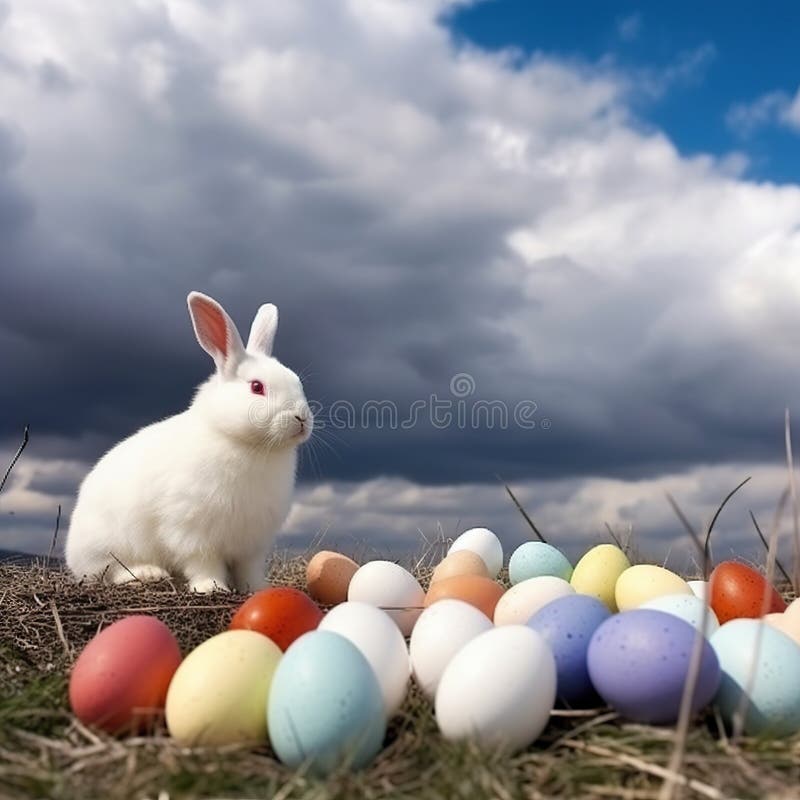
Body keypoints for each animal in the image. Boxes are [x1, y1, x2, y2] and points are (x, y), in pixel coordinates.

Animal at [65, 291, 313, 593]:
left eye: (297, 381)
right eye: (257, 387)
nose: (302, 418)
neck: (244, 443)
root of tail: (72, 550)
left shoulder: (252, 545)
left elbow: (248, 570)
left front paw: (258, 589)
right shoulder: (193, 532)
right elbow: (202, 562)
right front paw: (211, 587)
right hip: (108, 547)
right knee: (110, 571)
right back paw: (148, 573)